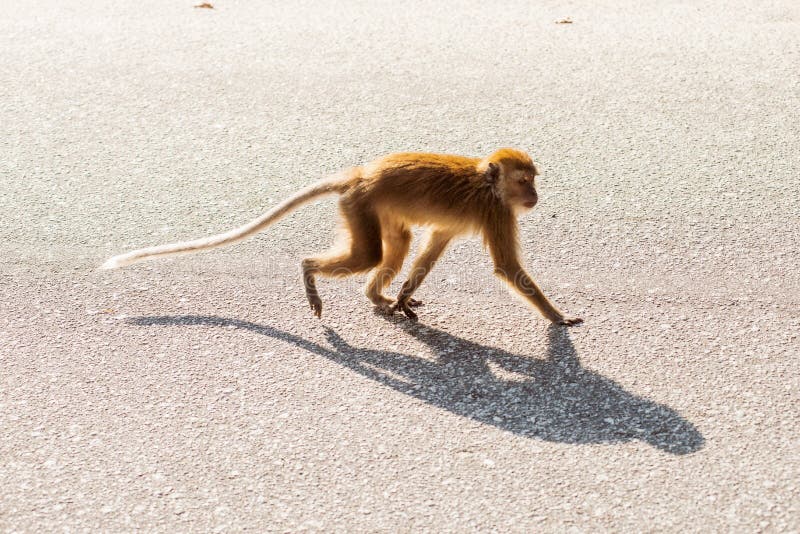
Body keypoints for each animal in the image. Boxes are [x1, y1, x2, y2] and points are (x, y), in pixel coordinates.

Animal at [101, 148, 583, 326]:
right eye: (524, 181)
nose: (535, 196)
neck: (489, 183)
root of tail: (361, 174)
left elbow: (431, 250)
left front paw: (405, 293)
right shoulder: (497, 211)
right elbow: (507, 268)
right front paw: (558, 317)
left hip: (369, 209)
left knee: (396, 248)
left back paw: (378, 296)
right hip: (361, 206)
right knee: (370, 254)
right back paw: (309, 271)